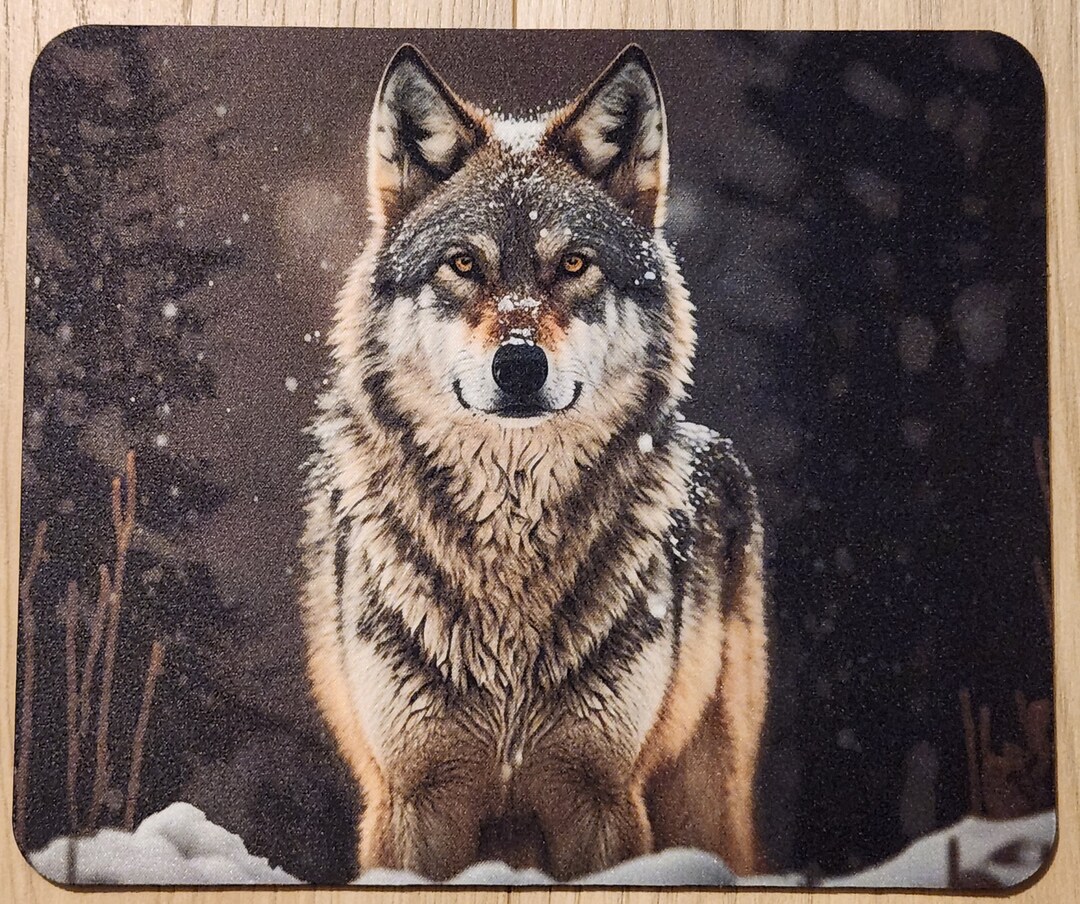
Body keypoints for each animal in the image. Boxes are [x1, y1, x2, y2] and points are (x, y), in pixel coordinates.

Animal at [300, 43, 768, 881]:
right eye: (463, 264)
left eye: (574, 264)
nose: (519, 364)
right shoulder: (412, 801)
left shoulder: (602, 798)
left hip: (705, 791)